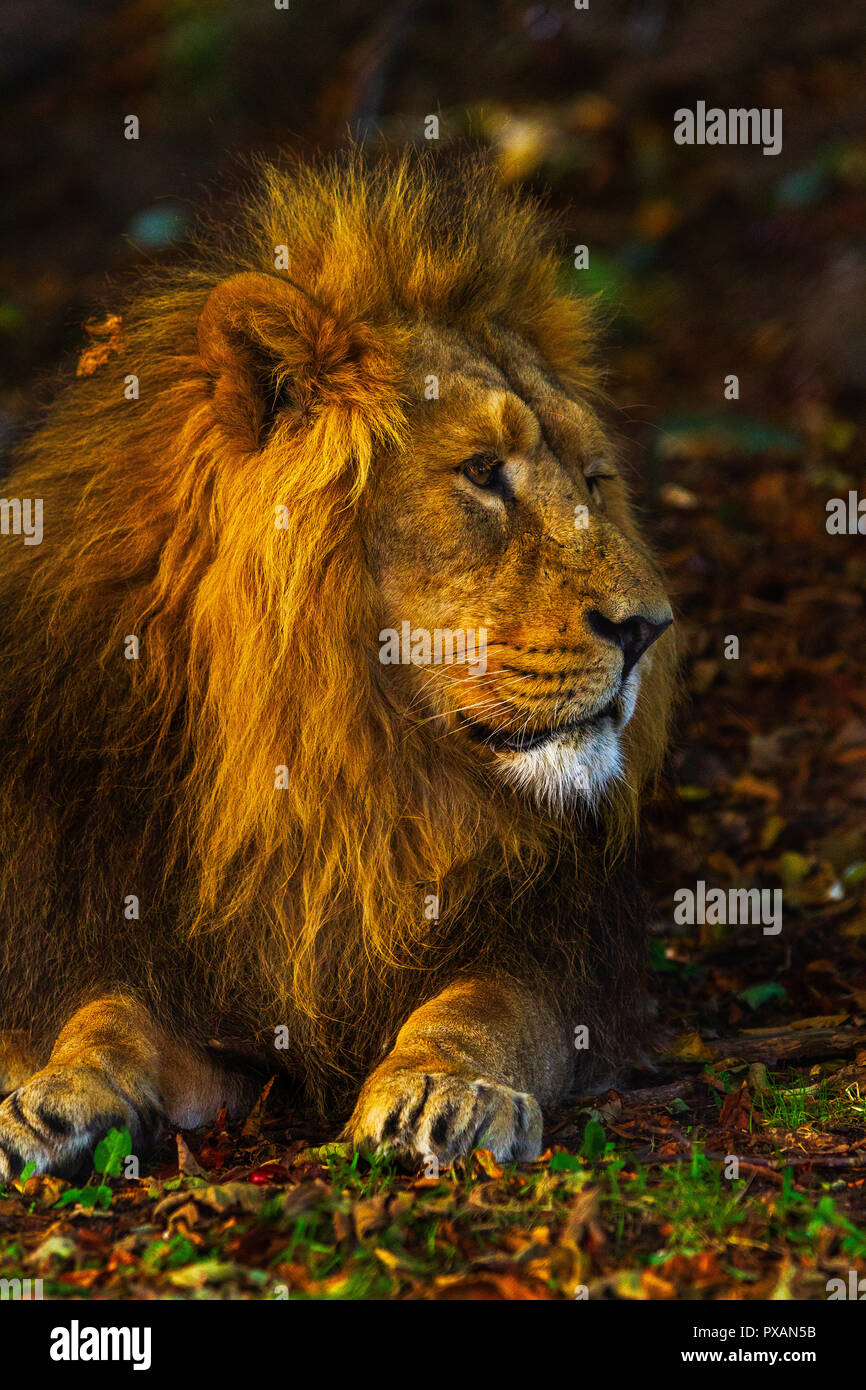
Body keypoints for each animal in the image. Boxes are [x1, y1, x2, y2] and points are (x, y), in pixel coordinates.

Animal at [0, 151, 675, 1178]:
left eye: (596, 480)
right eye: (483, 472)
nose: (650, 628)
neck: (330, 769)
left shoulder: (551, 951)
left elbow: (485, 1009)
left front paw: (445, 1088)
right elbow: (110, 1016)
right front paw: (57, 1098)